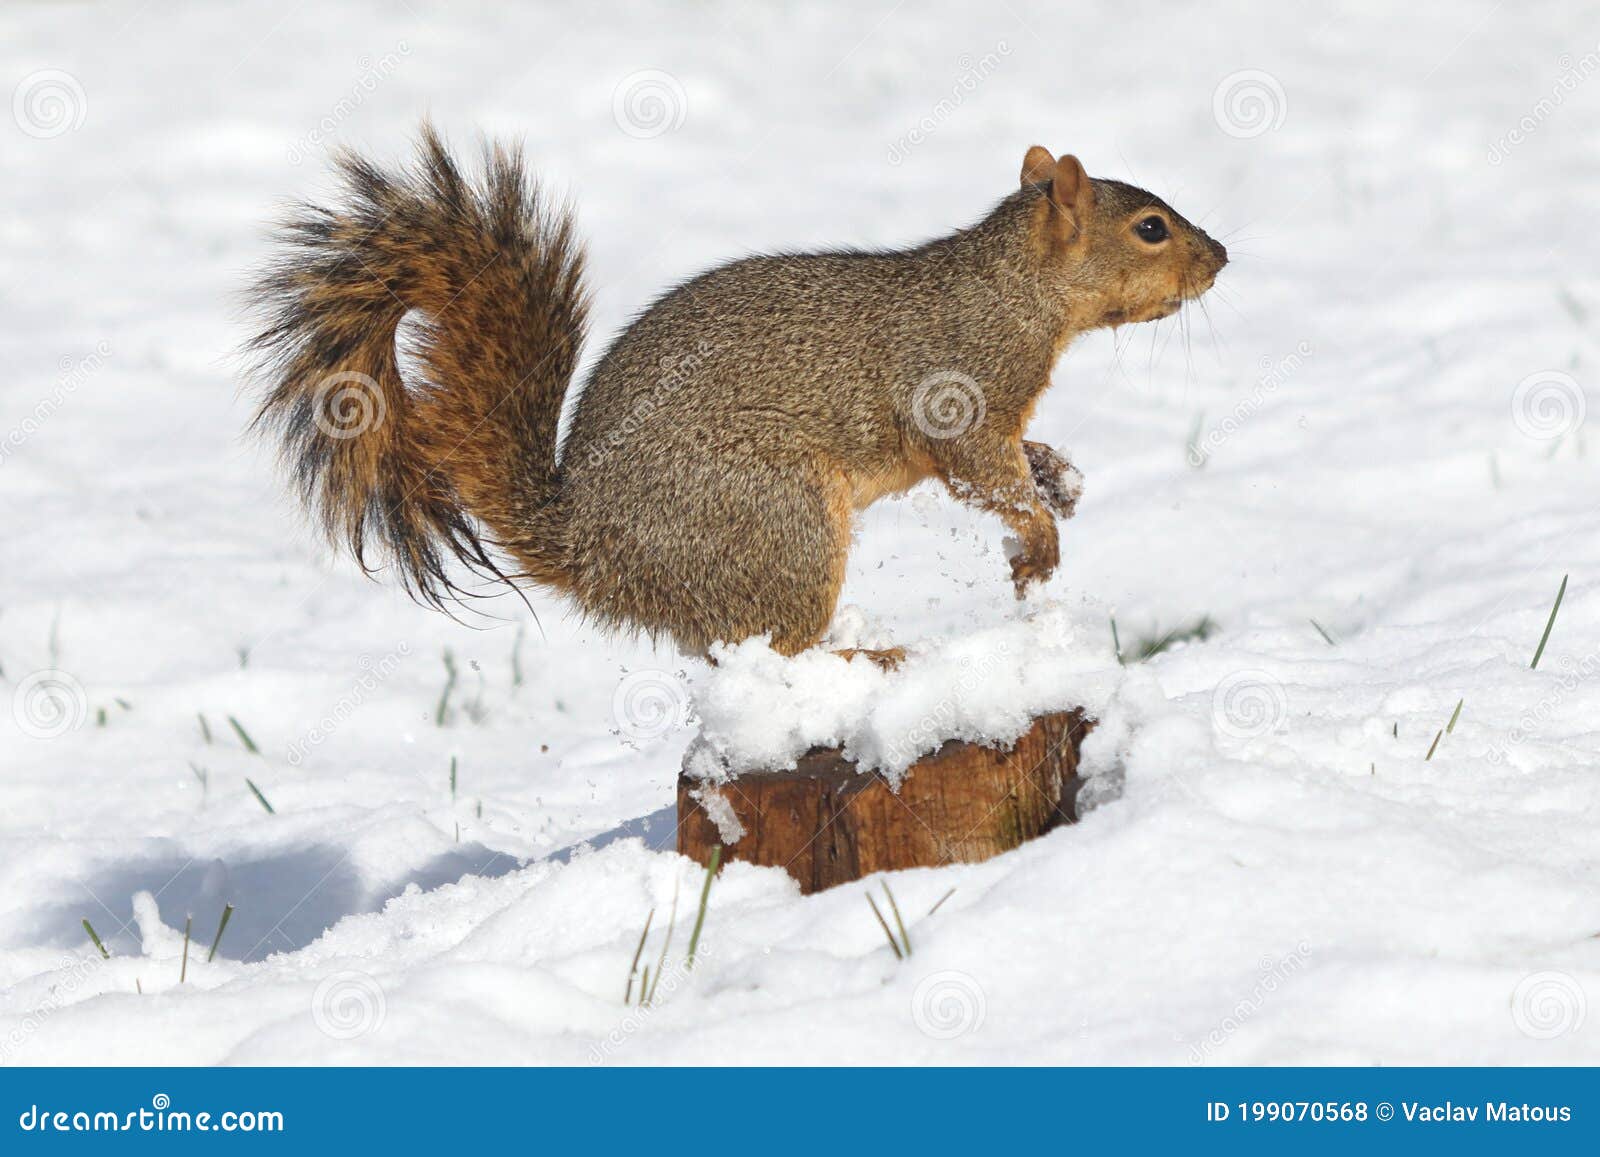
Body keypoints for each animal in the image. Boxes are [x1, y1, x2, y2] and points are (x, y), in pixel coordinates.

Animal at [246, 127, 1226, 658]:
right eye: (1150, 228)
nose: (1220, 256)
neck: (1016, 289)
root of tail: (592, 548)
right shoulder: (959, 385)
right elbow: (979, 470)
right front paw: (1038, 533)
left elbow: (1017, 458)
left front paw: (1057, 475)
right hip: (777, 513)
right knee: (777, 645)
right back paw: (871, 653)